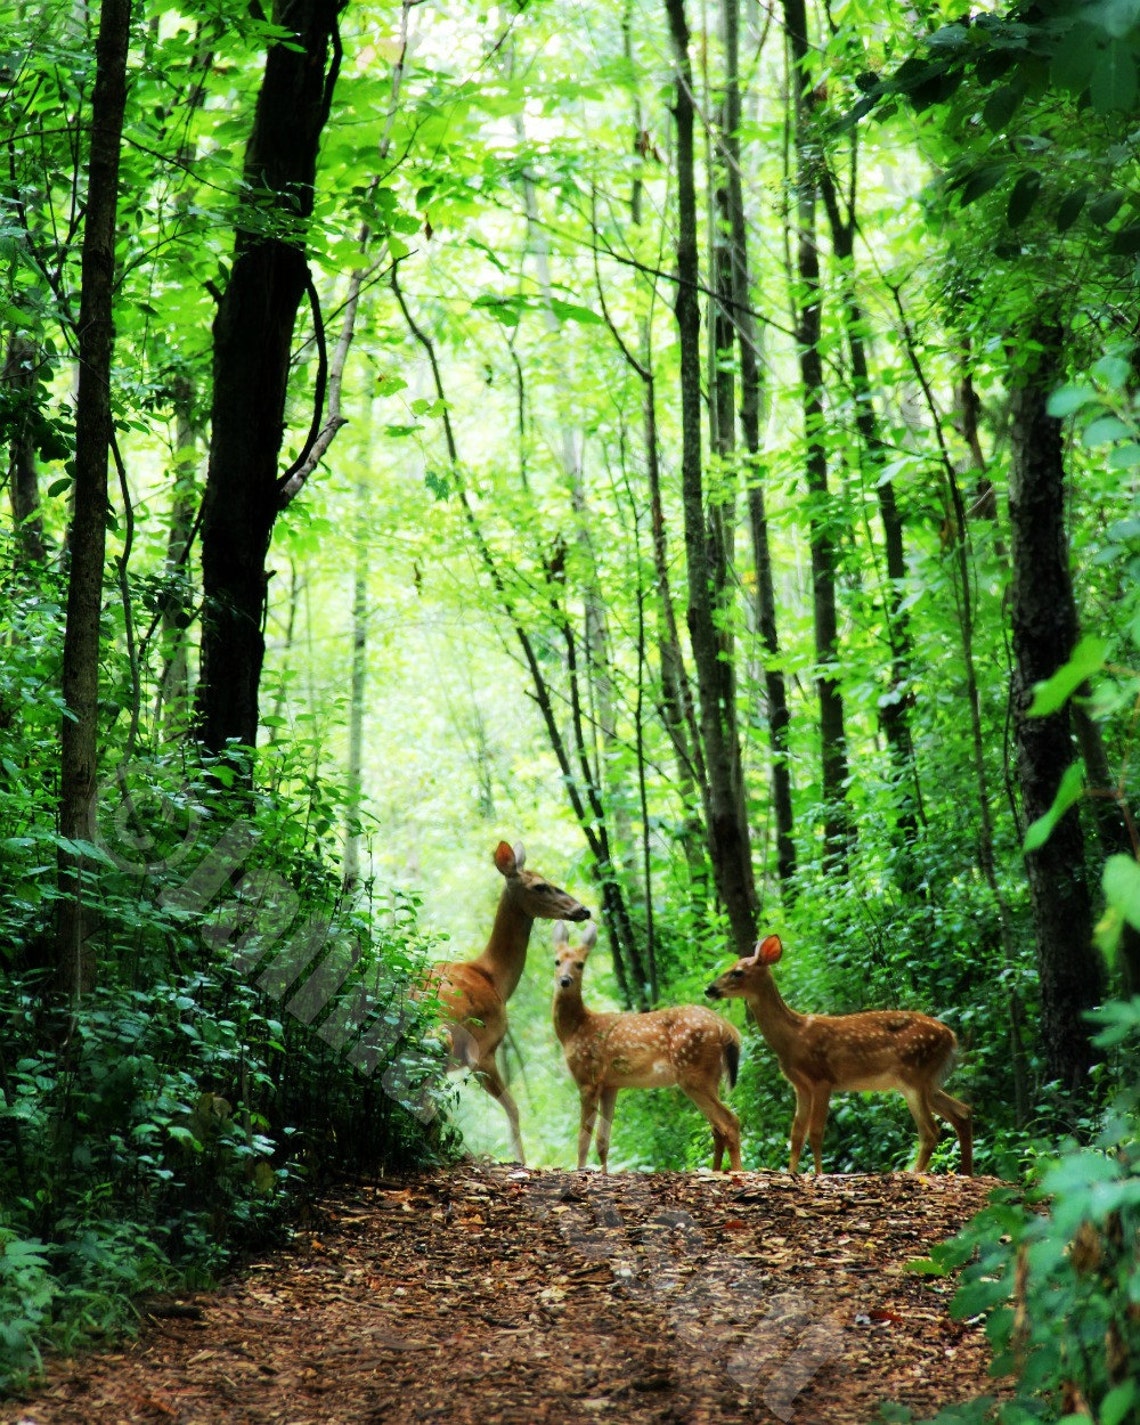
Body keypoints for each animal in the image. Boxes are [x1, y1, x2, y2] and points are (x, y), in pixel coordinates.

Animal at [422, 840, 590, 1164]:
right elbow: (514, 1108)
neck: (494, 978)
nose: (583, 910)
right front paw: (520, 1160)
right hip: (447, 1034)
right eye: (540, 886)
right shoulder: (484, 1047)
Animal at [552, 920, 743, 1172]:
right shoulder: (611, 1084)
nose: (565, 981)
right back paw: (715, 1172)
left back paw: (737, 1172)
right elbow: (603, 1141)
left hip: (693, 1072)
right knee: (717, 1128)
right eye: (557, 961)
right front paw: (604, 1173)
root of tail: (727, 1028)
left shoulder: (587, 1078)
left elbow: (583, 1139)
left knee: (729, 1122)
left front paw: (581, 1171)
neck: (575, 1029)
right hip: (711, 1076)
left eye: (580, 964)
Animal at [705, 934, 973, 1176]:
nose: (710, 989)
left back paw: (915, 1173)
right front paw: (791, 1173)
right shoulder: (801, 1086)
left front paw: (818, 1174)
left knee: (930, 1131)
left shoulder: (822, 1078)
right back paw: (966, 1172)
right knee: (962, 1112)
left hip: (914, 1074)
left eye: (737, 972)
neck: (792, 1038)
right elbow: (796, 1133)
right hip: (925, 1081)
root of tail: (952, 1037)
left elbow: (815, 1132)